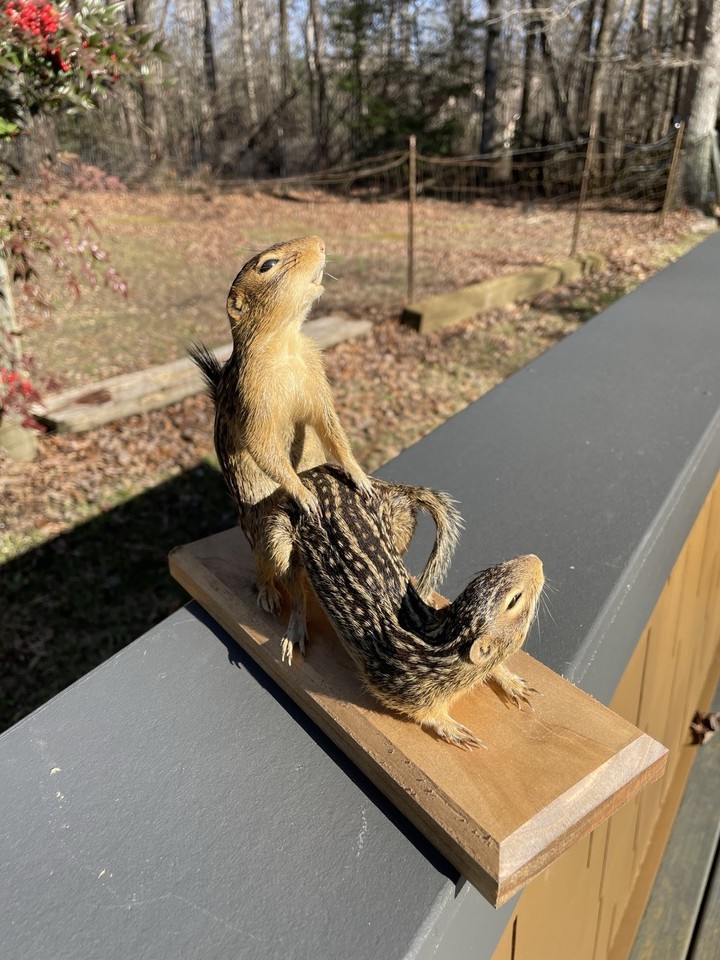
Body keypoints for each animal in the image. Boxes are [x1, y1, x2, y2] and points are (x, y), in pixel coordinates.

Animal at [189, 236, 461, 654]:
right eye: (267, 265)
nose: (318, 242)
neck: (286, 345)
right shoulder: (252, 402)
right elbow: (265, 449)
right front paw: (303, 491)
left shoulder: (317, 386)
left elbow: (330, 429)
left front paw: (357, 473)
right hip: (268, 535)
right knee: (273, 571)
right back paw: (273, 600)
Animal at [268, 465, 544, 749]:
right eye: (515, 599)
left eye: (496, 568)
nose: (537, 560)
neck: (442, 644)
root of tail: (316, 471)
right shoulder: (399, 686)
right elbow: (422, 713)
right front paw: (452, 729)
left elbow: (496, 666)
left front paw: (513, 682)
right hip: (280, 535)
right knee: (293, 585)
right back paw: (294, 631)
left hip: (400, 527)